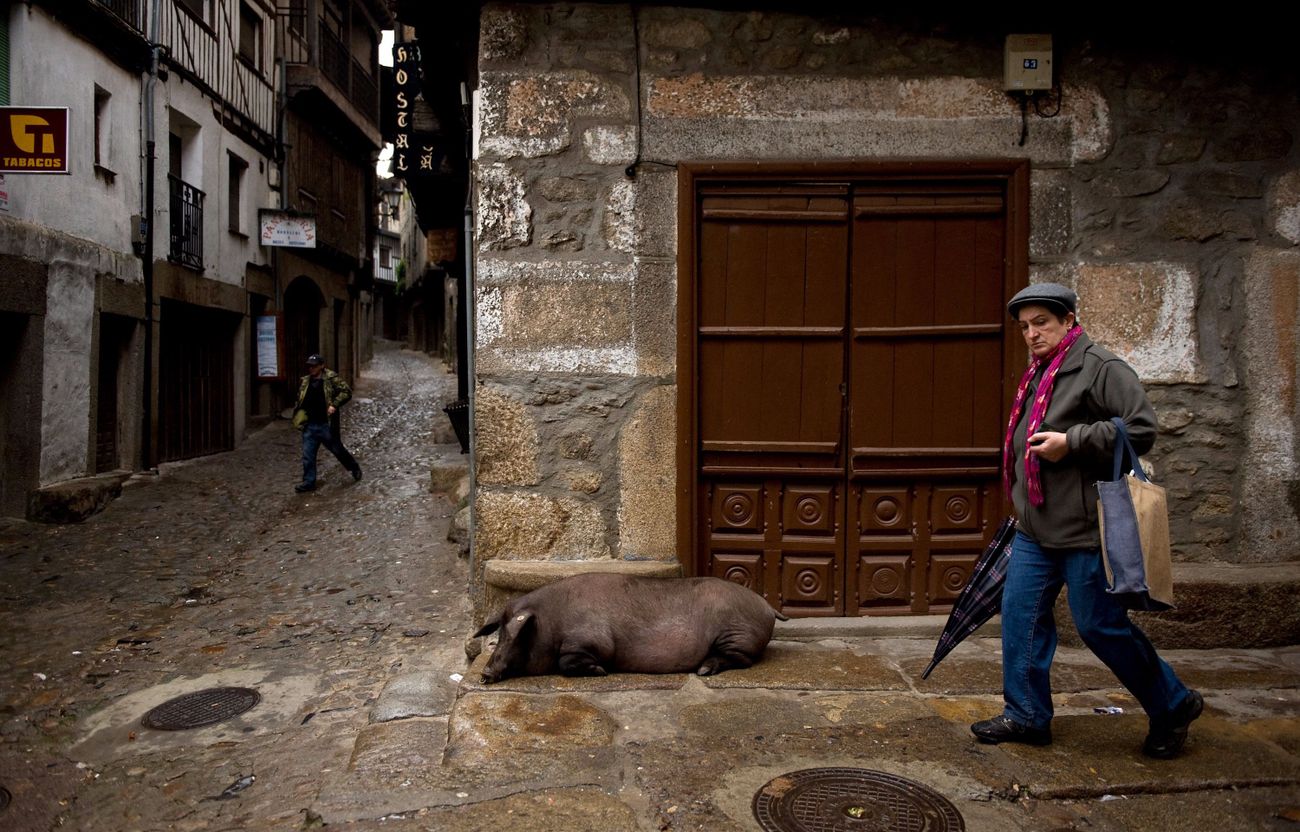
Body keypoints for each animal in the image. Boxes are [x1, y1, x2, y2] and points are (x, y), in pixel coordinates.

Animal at [473, 573, 787, 683]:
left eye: (514, 635)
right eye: (498, 634)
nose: (485, 673)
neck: (551, 622)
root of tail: (767, 606)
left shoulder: (591, 641)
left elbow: (568, 662)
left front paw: (600, 671)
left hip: (736, 634)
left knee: (743, 660)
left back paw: (704, 670)